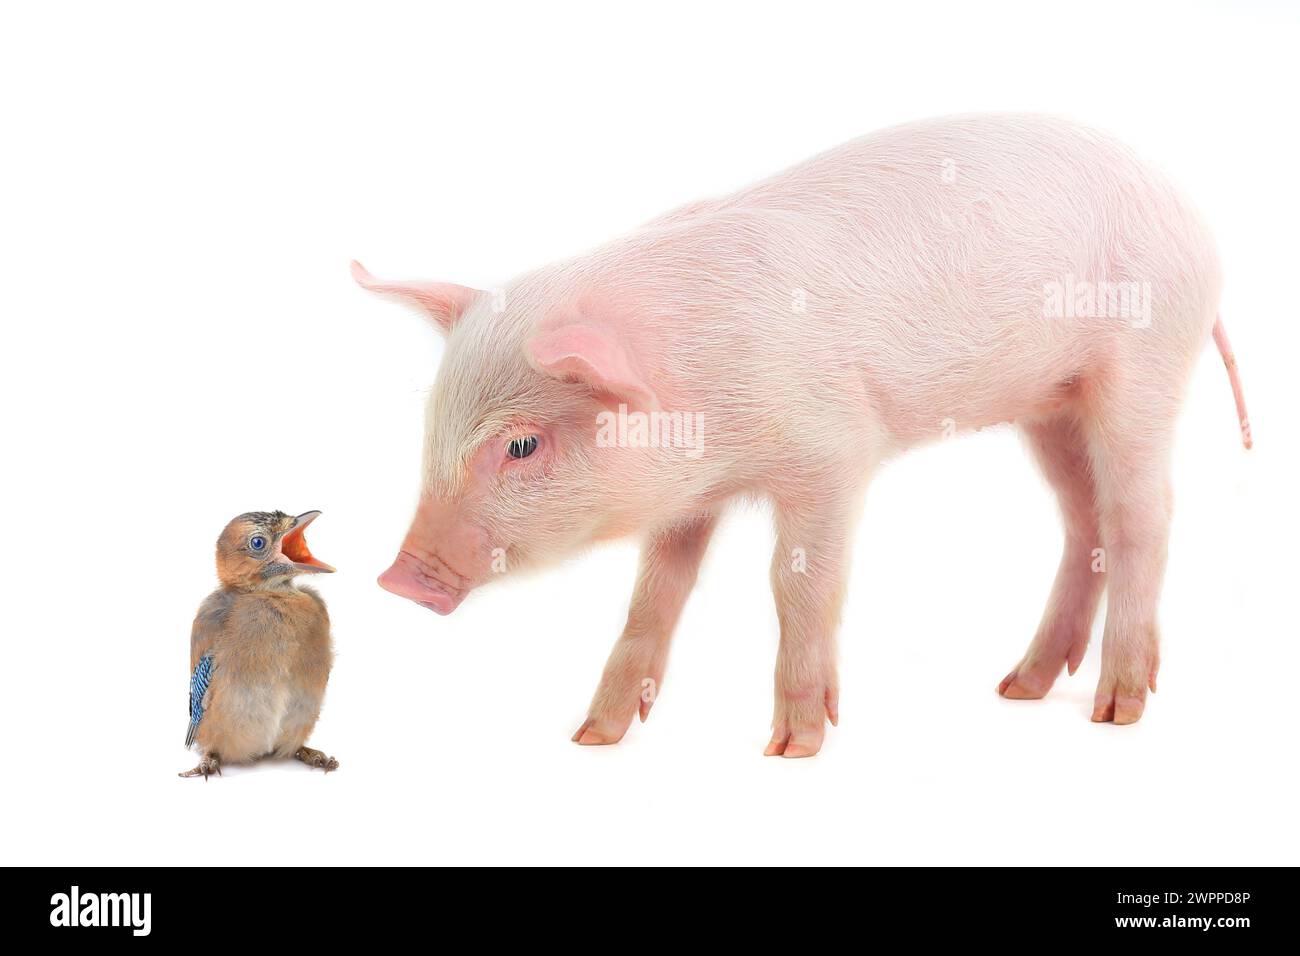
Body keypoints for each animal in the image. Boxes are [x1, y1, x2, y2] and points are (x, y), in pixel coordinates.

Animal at [355, 113, 1250, 757]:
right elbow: (657, 593)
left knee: (1143, 517)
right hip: (1051, 404)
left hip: (1143, 363)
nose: (397, 578)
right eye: (433, 424)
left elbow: (800, 585)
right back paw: (1018, 688)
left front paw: (793, 747)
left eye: (521, 446)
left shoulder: (833, 451)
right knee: (1082, 519)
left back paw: (1115, 711)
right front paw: (592, 737)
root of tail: (1191, 215)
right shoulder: (690, 494)